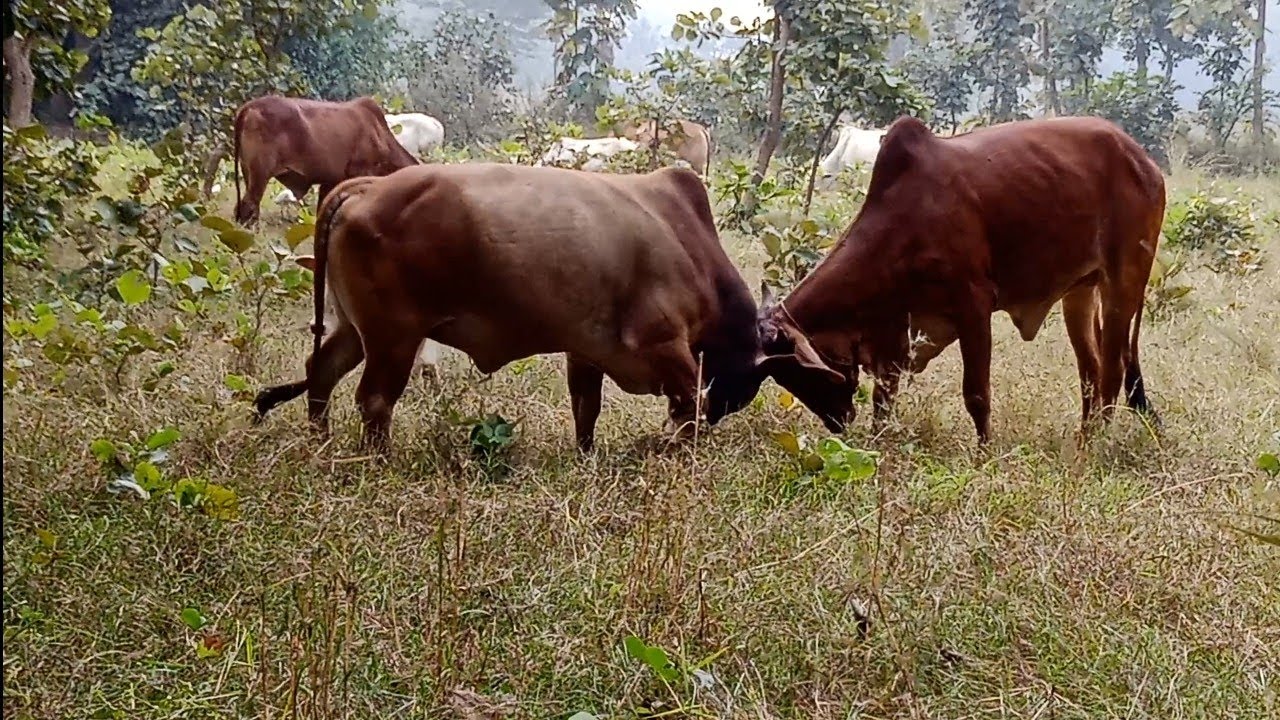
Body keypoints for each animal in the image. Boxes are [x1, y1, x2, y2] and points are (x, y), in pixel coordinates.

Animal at [232, 95, 418, 225]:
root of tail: (250, 106)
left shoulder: (330, 182)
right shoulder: (360, 172)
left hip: (247, 170)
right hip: (260, 173)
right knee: (249, 205)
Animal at [254, 163, 765, 452]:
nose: (727, 409)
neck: (693, 247)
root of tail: (366, 189)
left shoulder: (585, 351)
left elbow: (587, 410)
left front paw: (586, 457)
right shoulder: (665, 345)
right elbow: (690, 407)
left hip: (355, 329)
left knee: (321, 371)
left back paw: (320, 442)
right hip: (394, 337)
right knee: (375, 400)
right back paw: (379, 460)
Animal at [756, 116, 1165, 445]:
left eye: (797, 372)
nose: (838, 421)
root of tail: (1142, 159)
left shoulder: (974, 307)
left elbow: (977, 396)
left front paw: (984, 456)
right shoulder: (893, 333)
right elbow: (882, 402)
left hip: (1124, 281)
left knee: (1112, 373)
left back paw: (1094, 449)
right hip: (1079, 292)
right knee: (1091, 372)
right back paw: (1083, 439)